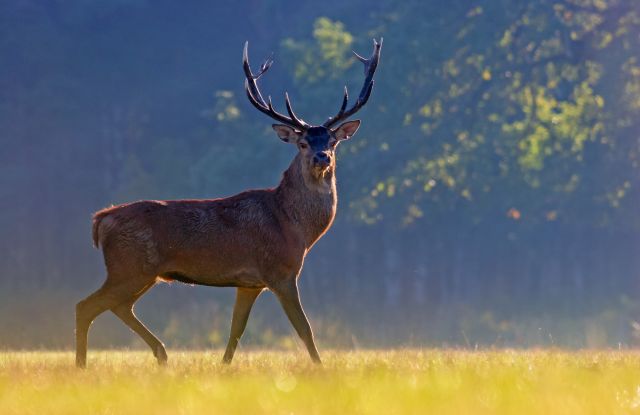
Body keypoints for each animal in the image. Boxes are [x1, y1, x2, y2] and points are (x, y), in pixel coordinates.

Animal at [75, 38, 382, 368]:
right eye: (302, 143)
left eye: (332, 142)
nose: (321, 157)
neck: (295, 226)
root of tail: (101, 219)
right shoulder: (280, 271)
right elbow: (304, 328)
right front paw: (320, 367)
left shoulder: (248, 283)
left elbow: (236, 330)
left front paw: (223, 367)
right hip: (128, 266)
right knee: (86, 306)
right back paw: (83, 365)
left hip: (142, 272)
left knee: (118, 307)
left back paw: (160, 353)